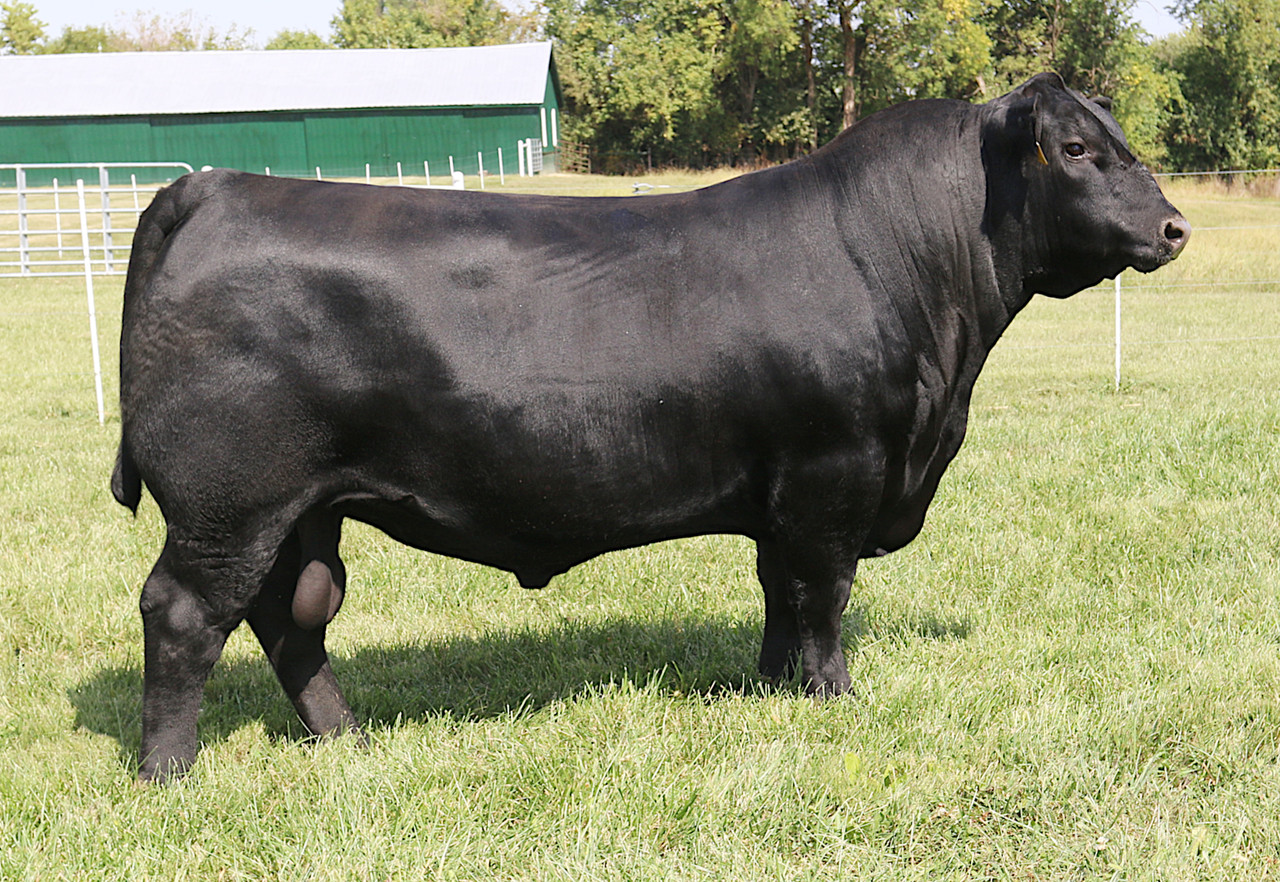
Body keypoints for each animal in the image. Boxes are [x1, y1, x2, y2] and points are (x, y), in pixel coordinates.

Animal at [113, 72, 1189, 781]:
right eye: (1079, 150)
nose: (1174, 227)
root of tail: (213, 185)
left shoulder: (779, 490)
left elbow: (776, 594)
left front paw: (769, 690)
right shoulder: (834, 473)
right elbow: (823, 596)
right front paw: (833, 699)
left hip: (298, 510)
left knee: (290, 617)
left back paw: (346, 739)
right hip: (228, 501)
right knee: (185, 614)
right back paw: (170, 772)